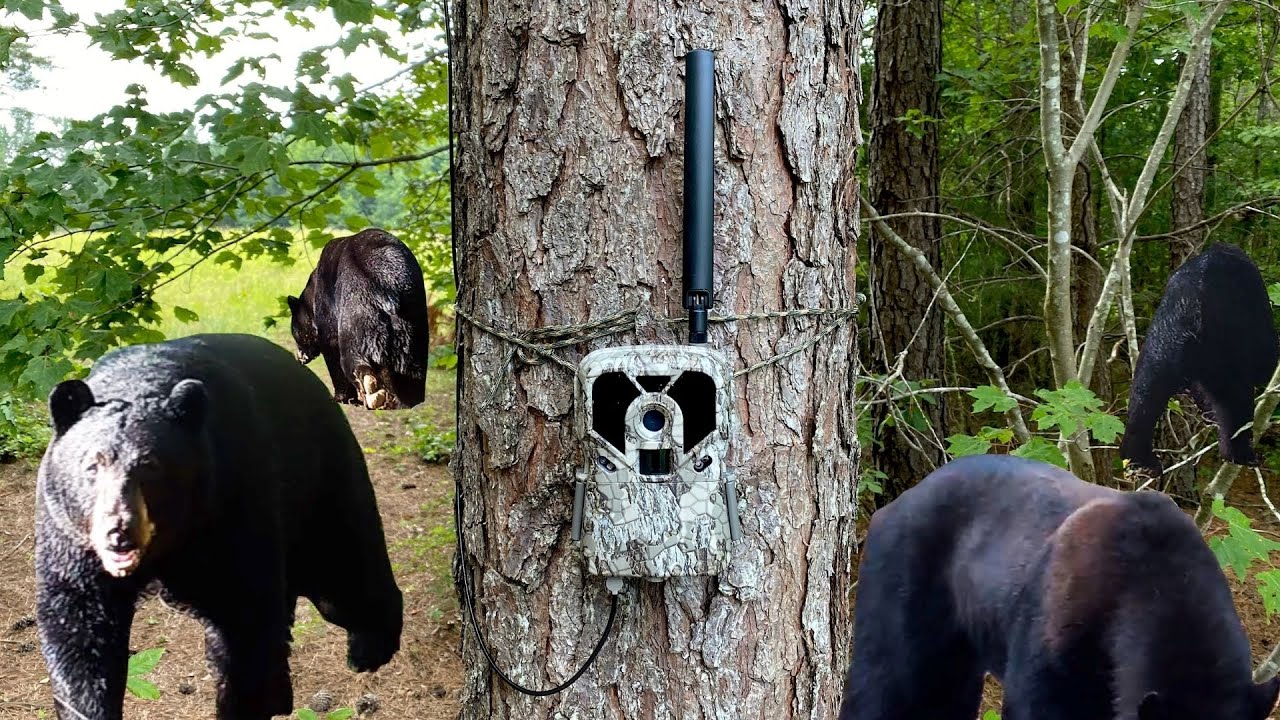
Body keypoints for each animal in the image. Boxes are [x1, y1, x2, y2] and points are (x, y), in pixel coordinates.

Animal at [34, 333, 403, 720]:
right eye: (91, 465)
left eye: (152, 467)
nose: (119, 533)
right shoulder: (68, 532)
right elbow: (79, 627)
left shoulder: (231, 501)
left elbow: (244, 622)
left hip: (320, 479)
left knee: (343, 571)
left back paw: (369, 650)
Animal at [287, 228, 430, 410]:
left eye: (295, 332)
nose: (299, 358)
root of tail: (388, 281)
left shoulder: (326, 305)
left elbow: (331, 346)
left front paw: (341, 397)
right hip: (413, 318)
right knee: (413, 367)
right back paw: (407, 400)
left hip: (357, 313)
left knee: (352, 355)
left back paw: (371, 391)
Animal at [1120, 242, 1279, 479]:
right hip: (1228, 361)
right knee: (1236, 406)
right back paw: (1241, 454)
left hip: (1160, 349)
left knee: (1144, 398)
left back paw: (1141, 461)